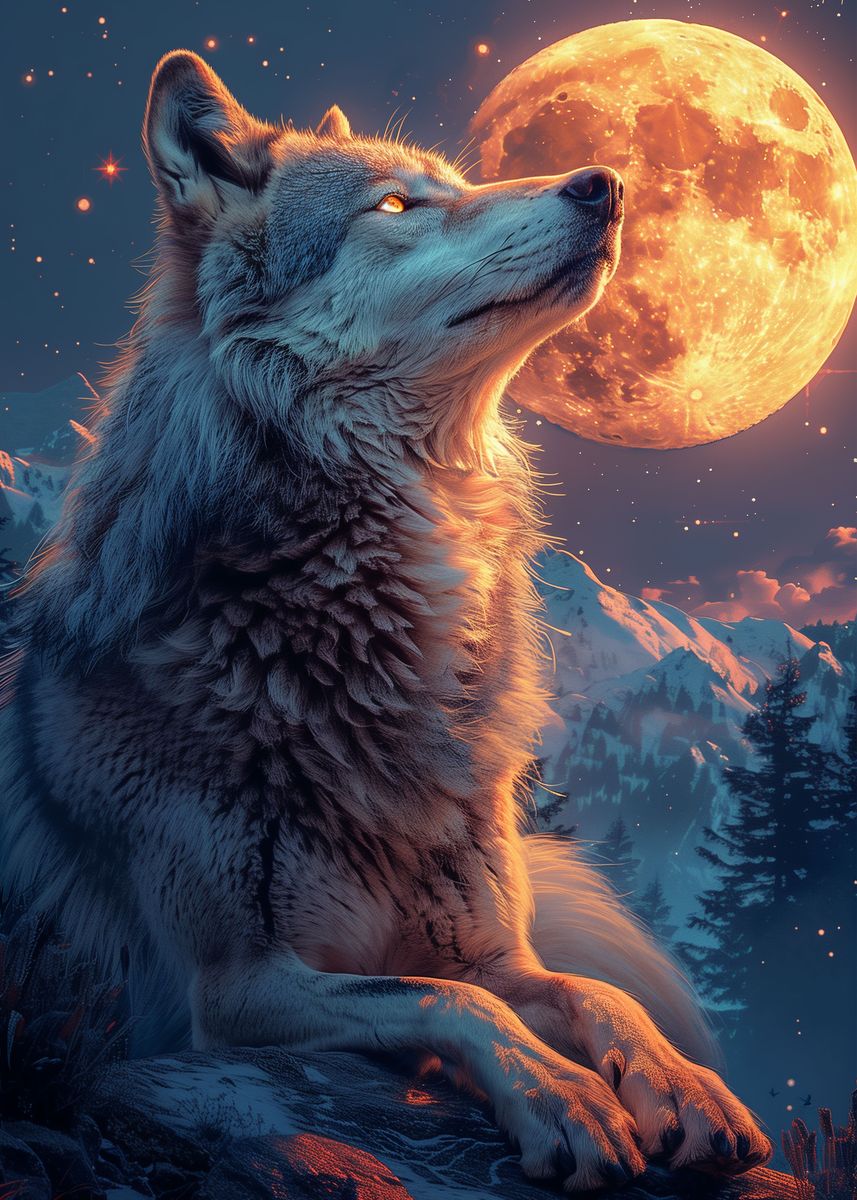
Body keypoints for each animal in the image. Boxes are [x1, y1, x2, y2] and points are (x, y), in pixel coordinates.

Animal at [0, 51, 770, 1190]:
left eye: (457, 182)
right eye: (399, 206)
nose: (604, 182)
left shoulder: (497, 951)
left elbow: (589, 991)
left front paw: (679, 1084)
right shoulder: (234, 990)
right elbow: (446, 1003)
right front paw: (564, 1097)